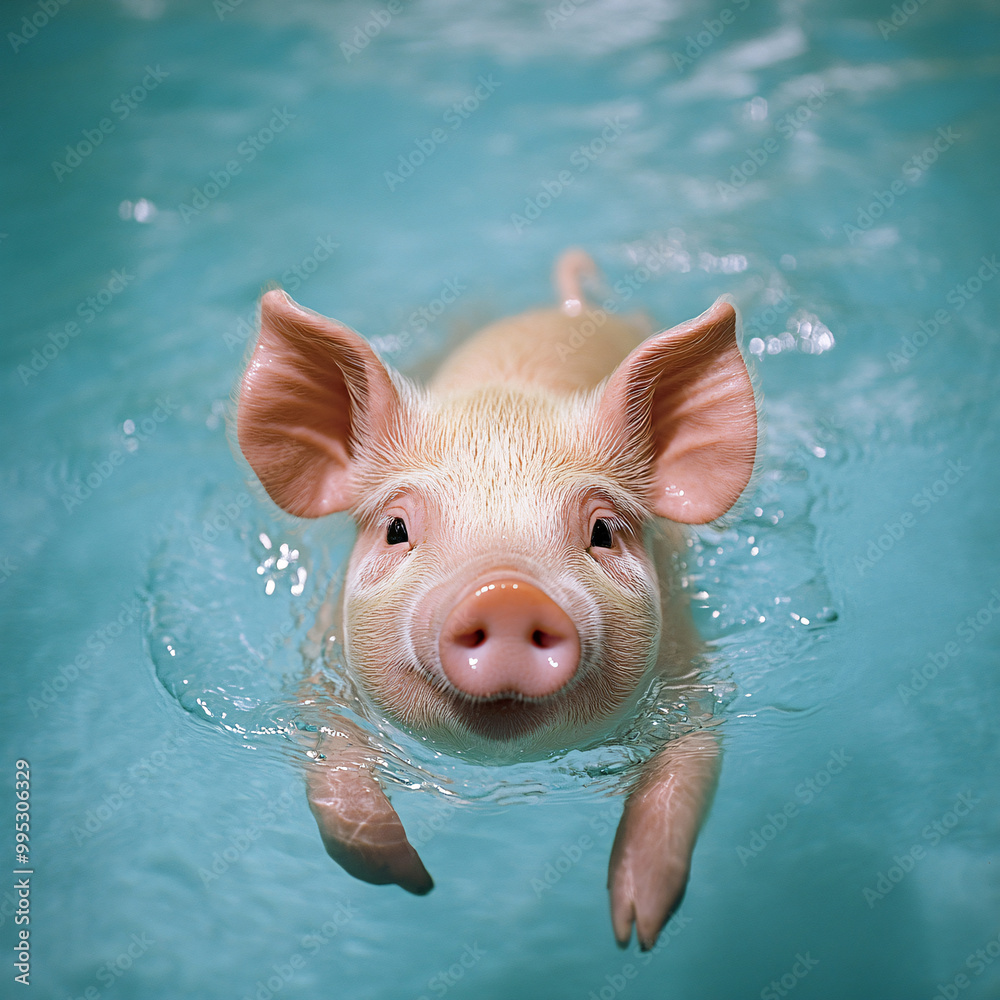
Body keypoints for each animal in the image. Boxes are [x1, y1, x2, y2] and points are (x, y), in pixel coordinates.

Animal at [236, 249, 757, 949]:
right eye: (396, 528)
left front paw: (634, 930)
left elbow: (688, 769)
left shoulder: (689, 670)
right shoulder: (319, 671)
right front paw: (415, 881)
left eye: (602, 531)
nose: (506, 590)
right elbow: (334, 774)